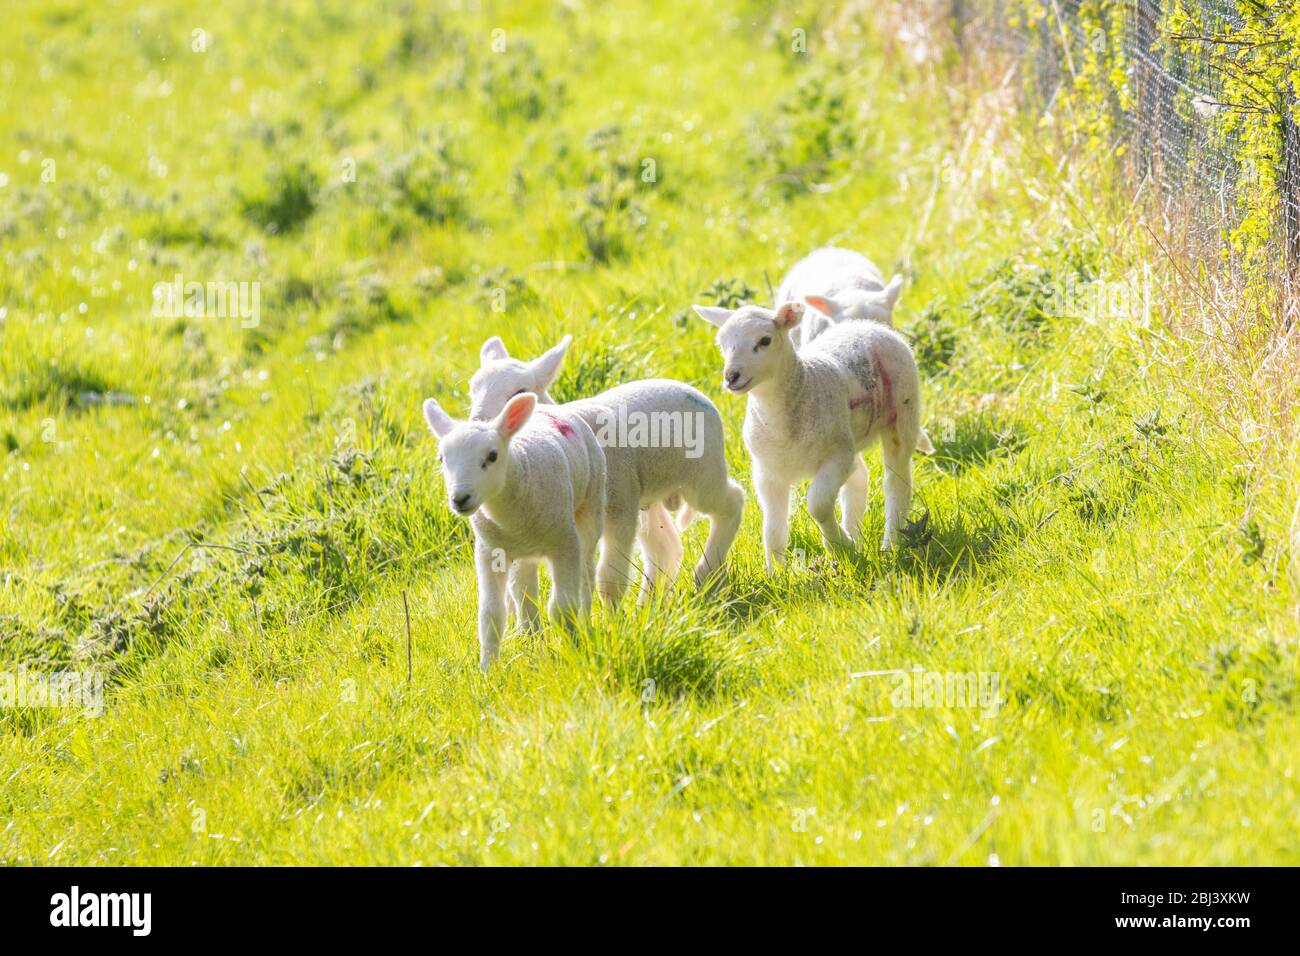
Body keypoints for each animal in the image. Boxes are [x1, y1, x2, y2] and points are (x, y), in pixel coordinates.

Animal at [421, 391, 605, 671]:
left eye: (492, 456)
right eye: (442, 459)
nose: (459, 499)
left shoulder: (565, 542)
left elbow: (562, 607)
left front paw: (572, 650)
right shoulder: (489, 551)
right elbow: (490, 615)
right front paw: (487, 669)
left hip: (590, 507)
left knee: (586, 576)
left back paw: (583, 621)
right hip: (522, 553)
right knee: (524, 588)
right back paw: (530, 633)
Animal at [470, 335, 745, 606]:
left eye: (520, 392)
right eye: (473, 391)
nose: (480, 426)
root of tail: (695, 392)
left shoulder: (619, 506)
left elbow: (609, 577)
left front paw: (612, 615)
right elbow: (523, 587)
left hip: (702, 474)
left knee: (732, 501)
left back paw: (706, 574)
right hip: (647, 495)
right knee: (665, 548)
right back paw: (648, 607)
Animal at [693, 299, 922, 566]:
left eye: (765, 340)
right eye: (722, 344)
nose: (731, 376)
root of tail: (868, 326)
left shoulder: (836, 458)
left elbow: (818, 504)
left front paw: (841, 547)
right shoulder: (767, 472)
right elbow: (772, 527)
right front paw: (777, 572)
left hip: (902, 416)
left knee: (897, 482)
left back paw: (891, 544)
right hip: (848, 437)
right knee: (859, 477)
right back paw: (856, 533)